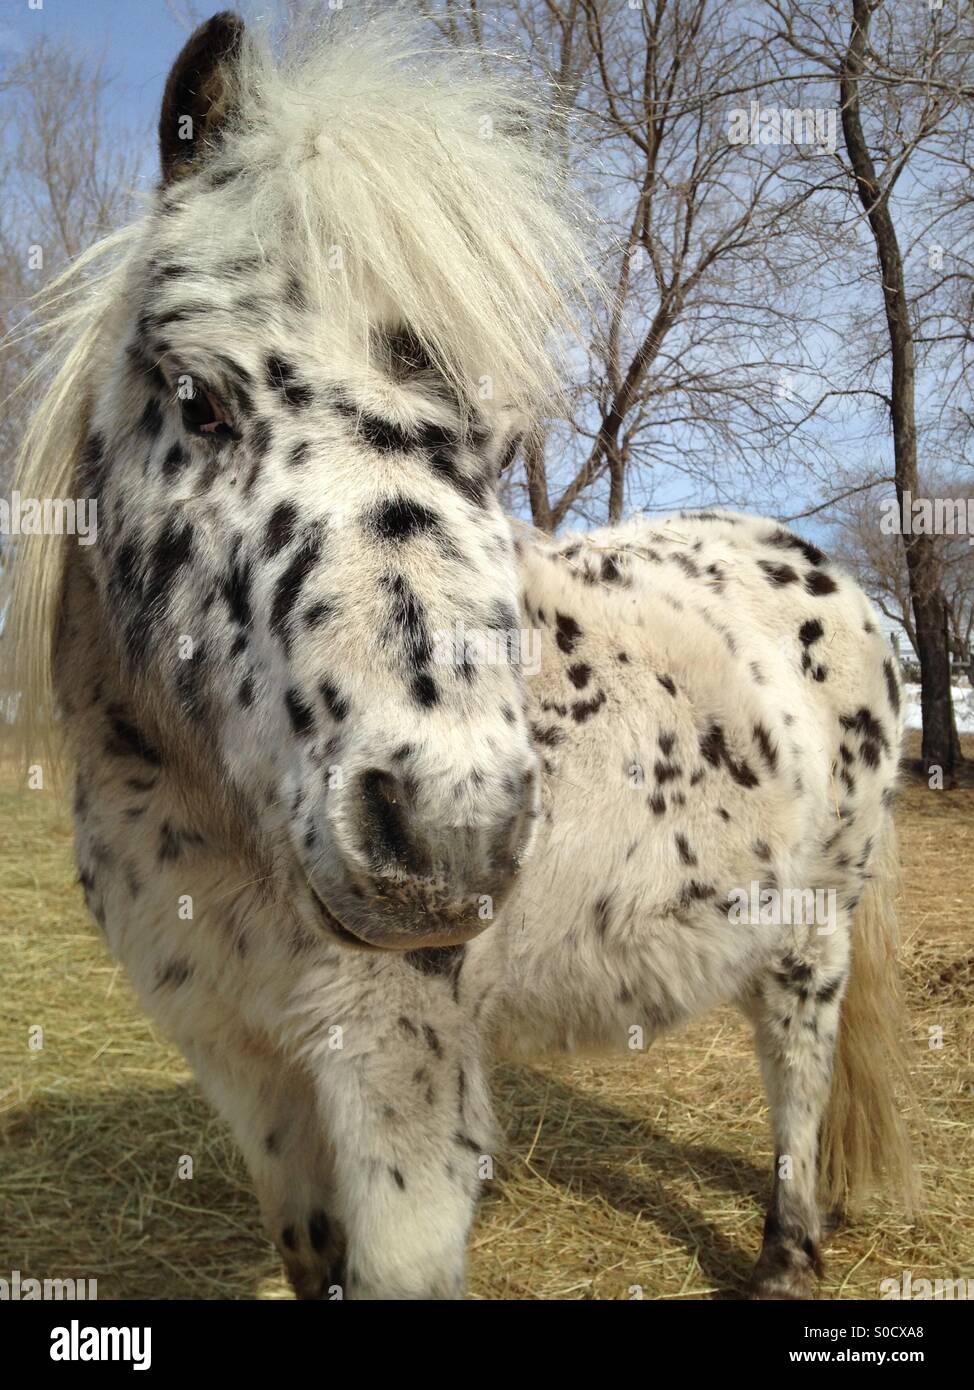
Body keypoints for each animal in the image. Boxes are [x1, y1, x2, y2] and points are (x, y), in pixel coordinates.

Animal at [7, 9, 914, 1300]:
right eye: (196, 397)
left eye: (489, 441)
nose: (449, 837)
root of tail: (833, 581)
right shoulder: (246, 1069)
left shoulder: (396, 1081)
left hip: (813, 928)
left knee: (795, 1072)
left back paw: (786, 1254)